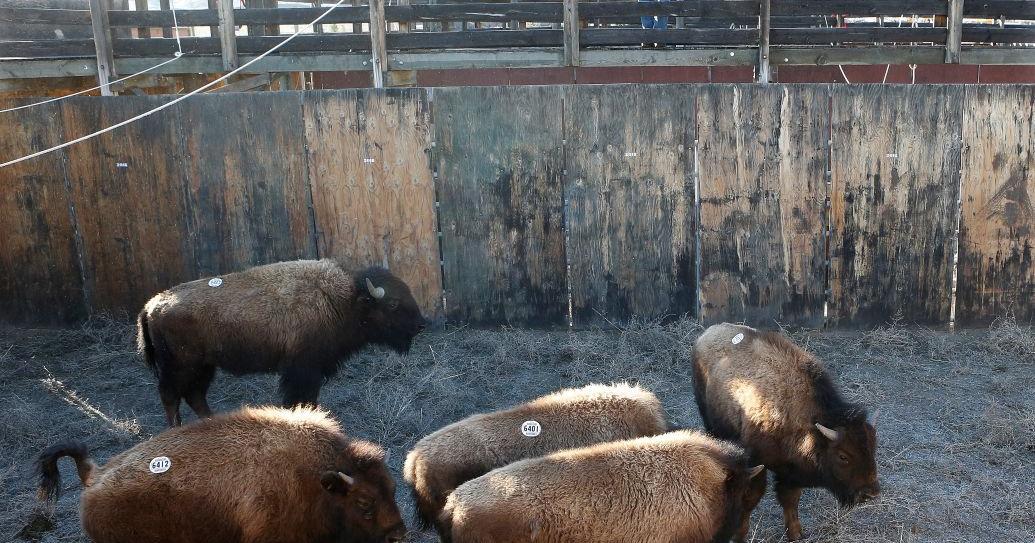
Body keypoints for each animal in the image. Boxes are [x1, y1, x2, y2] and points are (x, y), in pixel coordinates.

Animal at [137, 259, 426, 426]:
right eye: (393, 304)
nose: (421, 324)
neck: (345, 300)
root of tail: (151, 305)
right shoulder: (303, 371)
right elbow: (301, 400)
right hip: (180, 367)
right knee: (170, 396)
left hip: (204, 367)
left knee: (195, 396)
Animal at [692, 323, 880, 540]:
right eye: (843, 456)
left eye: (873, 448)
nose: (870, 493)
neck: (807, 422)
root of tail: (709, 332)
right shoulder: (755, 464)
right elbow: (751, 499)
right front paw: (740, 536)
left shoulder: (792, 472)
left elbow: (790, 499)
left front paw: (796, 534)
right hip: (709, 417)